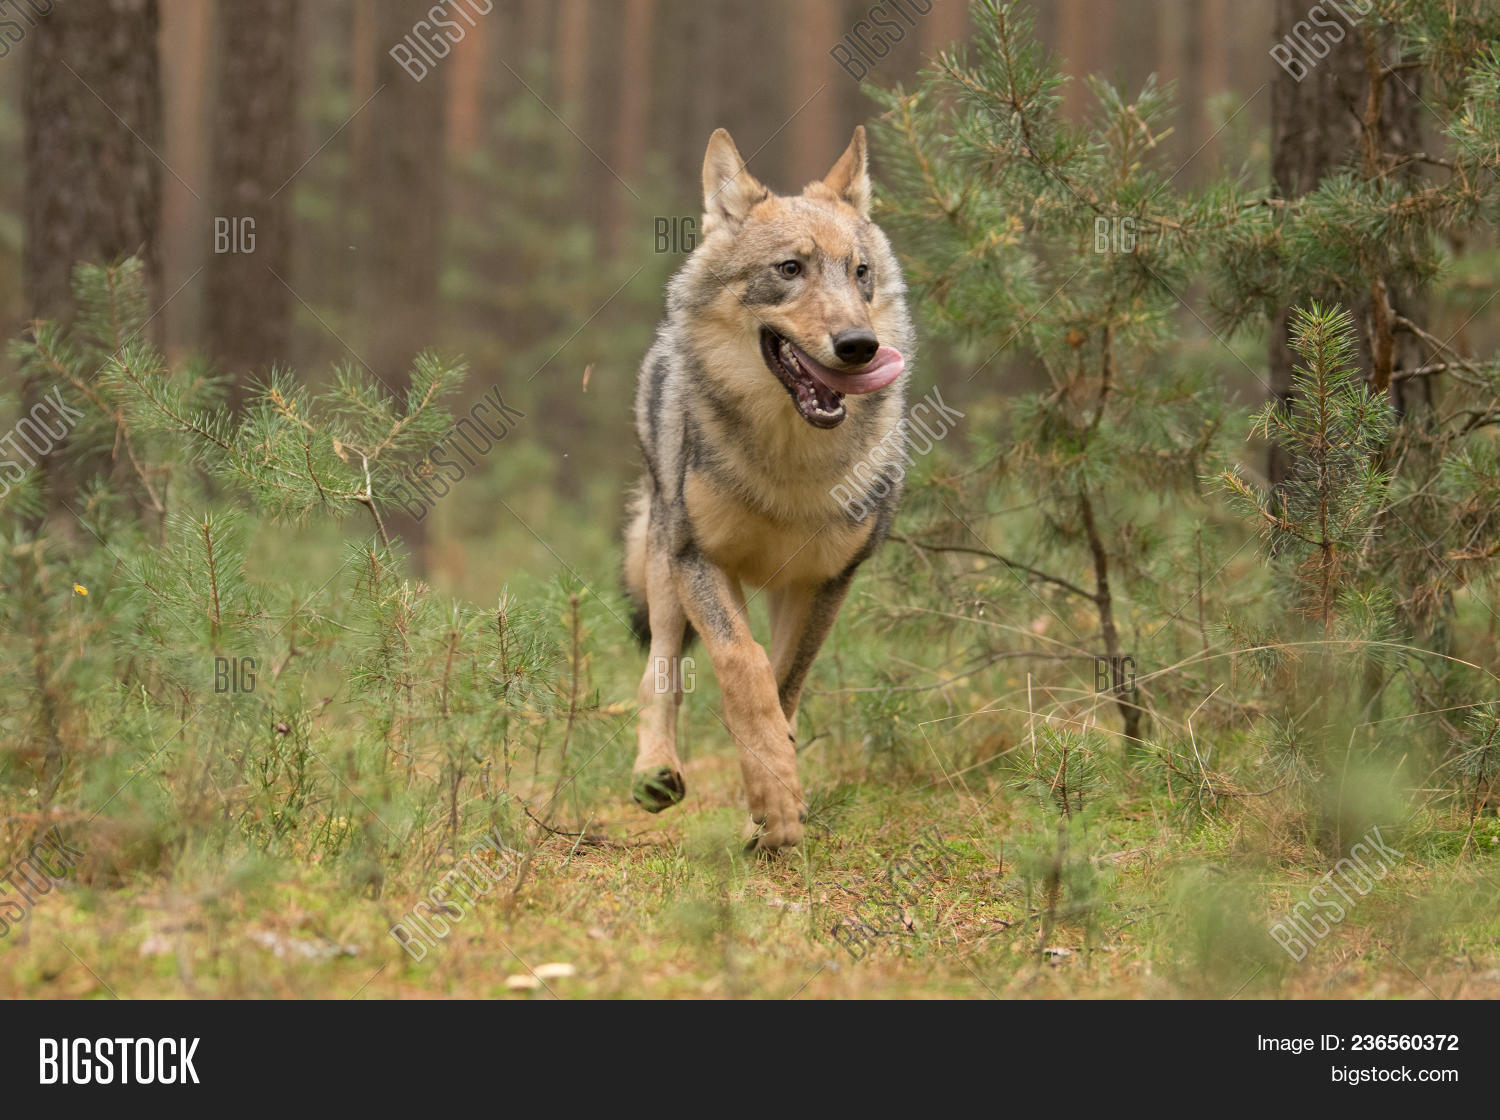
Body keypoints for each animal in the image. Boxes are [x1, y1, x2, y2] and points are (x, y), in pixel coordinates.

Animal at [623, 125, 913, 851]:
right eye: (790, 269)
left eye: (860, 273)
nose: (860, 344)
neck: (790, 468)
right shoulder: (700, 560)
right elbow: (742, 666)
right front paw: (776, 803)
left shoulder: (825, 581)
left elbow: (783, 684)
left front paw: (770, 805)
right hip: (664, 565)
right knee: (659, 671)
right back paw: (655, 774)